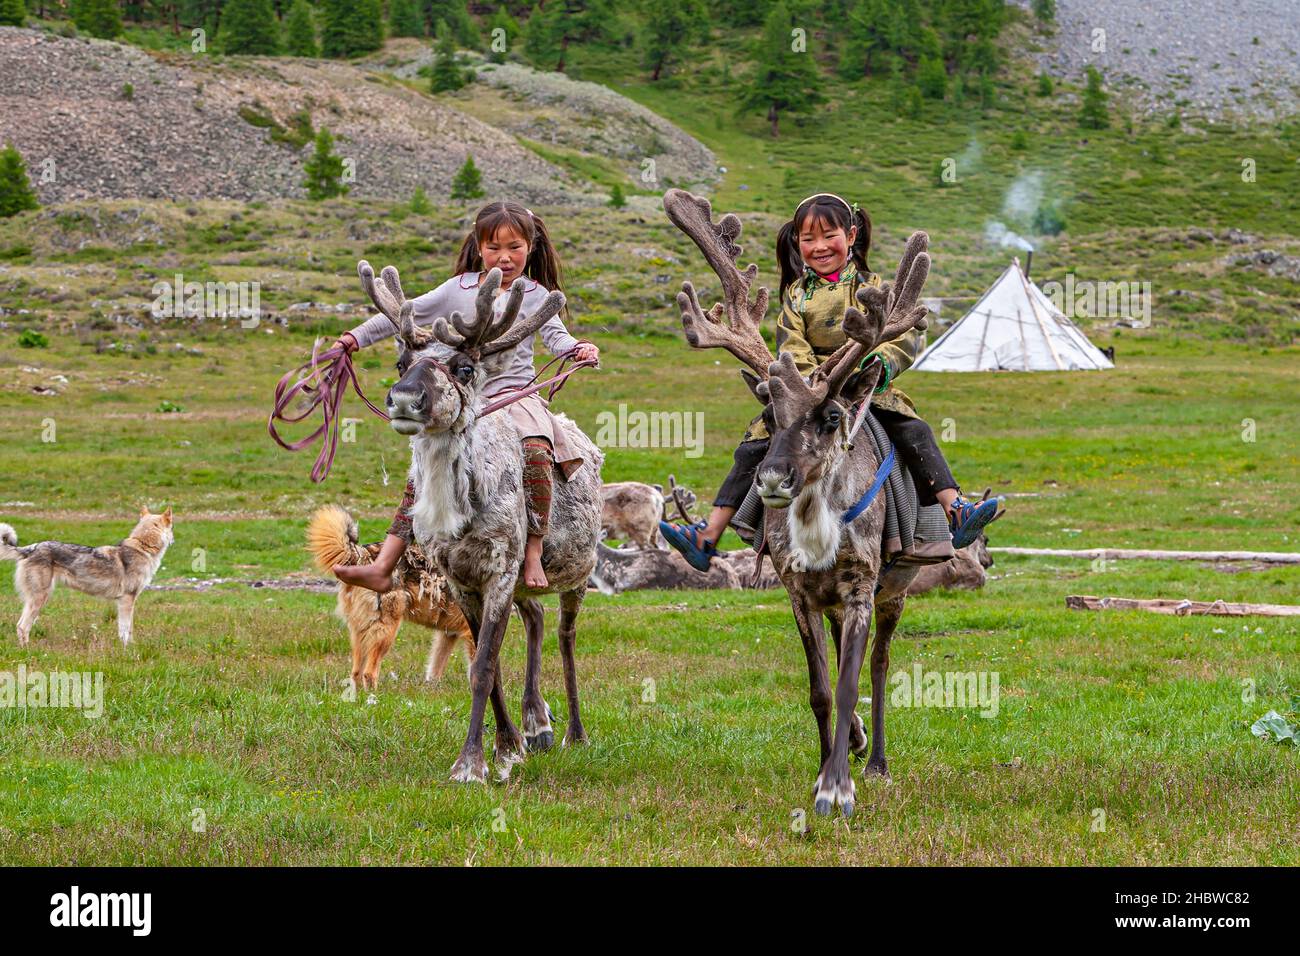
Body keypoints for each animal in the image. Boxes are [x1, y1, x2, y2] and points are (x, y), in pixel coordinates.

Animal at [359, 259, 604, 784]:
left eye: (464, 368)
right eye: (400, 364)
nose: (404, 399)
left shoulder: (501, 567)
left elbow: (485, 665)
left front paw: (470, 764)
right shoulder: (460, 578)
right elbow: (482, 669)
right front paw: (507, 747)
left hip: (578, 570)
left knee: (565, 637)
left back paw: (574, 732)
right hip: (526, 582)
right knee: (535, 618)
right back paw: (537, 723)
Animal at [663, 188, 932, 817]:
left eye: (831, 416)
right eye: (769, 411)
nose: (771, 478)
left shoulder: (861, 586)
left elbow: (853, 680)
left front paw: (839, 787)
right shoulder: (799, 591)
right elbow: (820, 689)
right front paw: (823, 767)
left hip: (897, 588)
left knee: (880, 664)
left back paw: (876, 760)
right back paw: (855, 740)